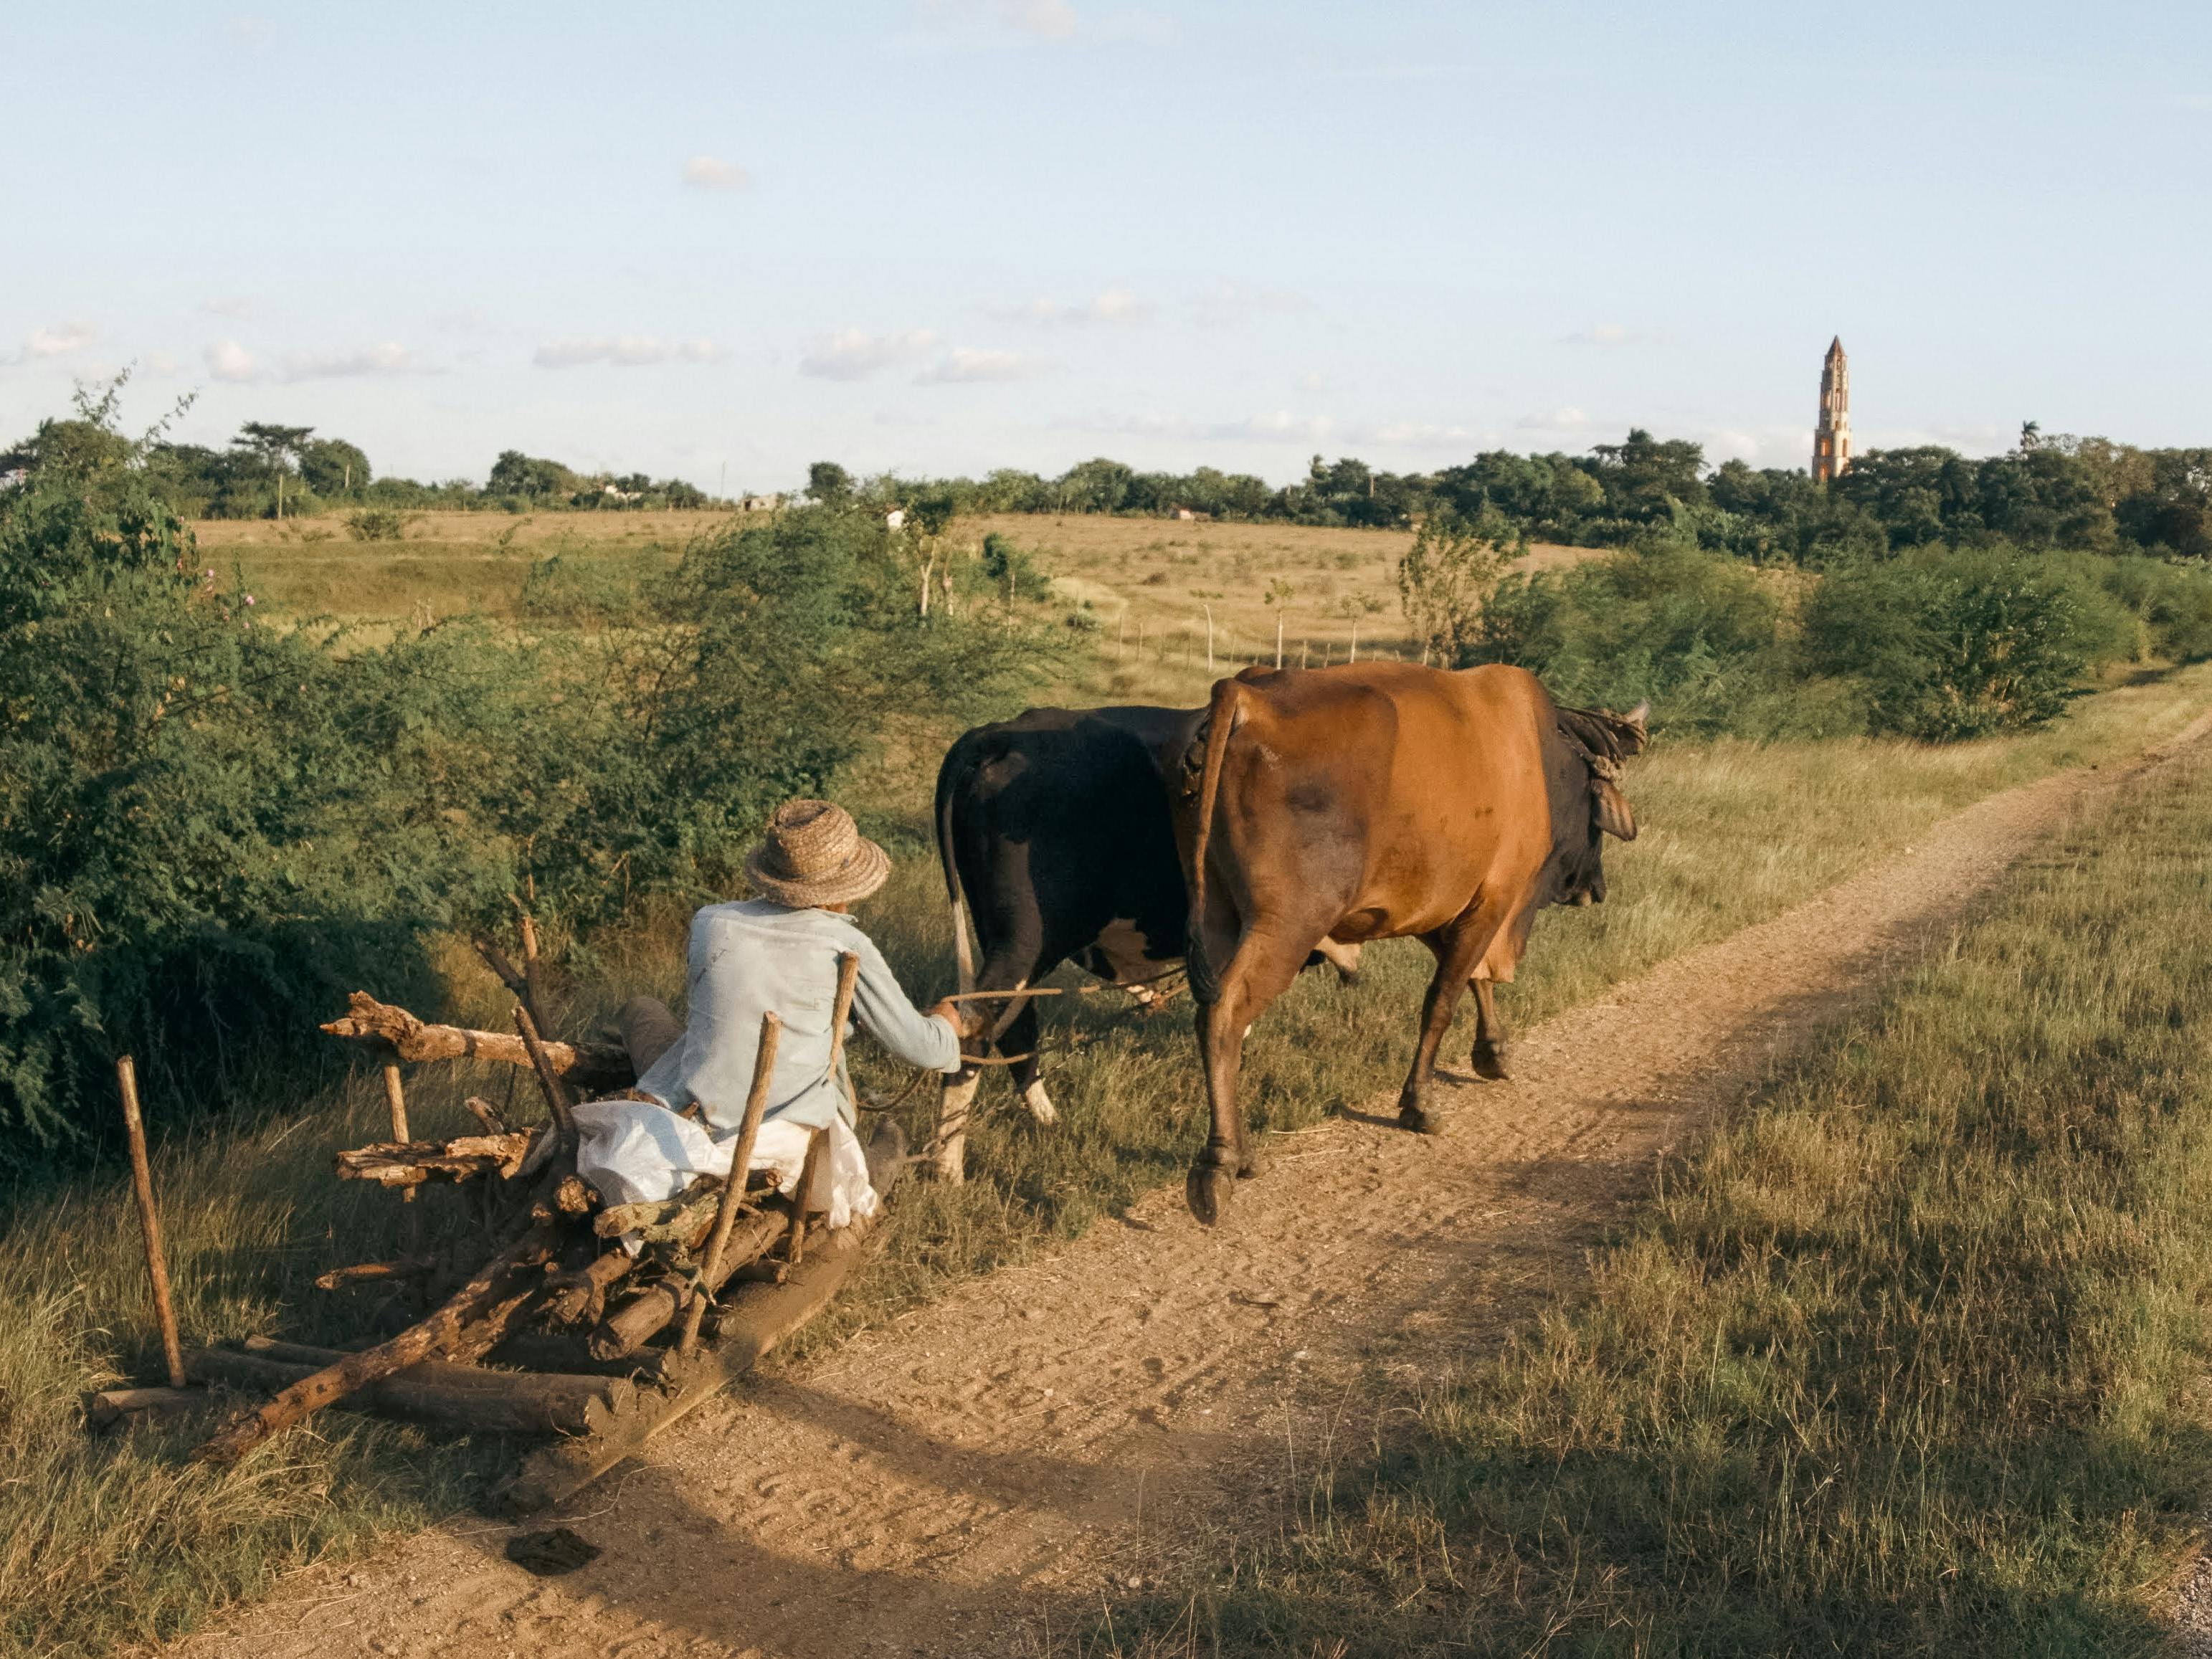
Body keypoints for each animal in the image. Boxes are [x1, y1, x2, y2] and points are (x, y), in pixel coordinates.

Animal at [929, 704, 1363, 1182]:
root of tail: (999, 733)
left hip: (1011, 941)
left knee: (1013, 1028)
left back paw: (1046, 1120)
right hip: (1026, 942)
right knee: (978, 1031)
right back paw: (949, 1170)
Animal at [1170, 661, 1646, 1224]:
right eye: (1594, 818)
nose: (1596, 887)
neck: (1541, 759)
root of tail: (1247, 695)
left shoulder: (1442, 907)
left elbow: (1473, 981)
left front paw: (1493, 1052)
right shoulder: (1494, 898)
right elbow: (1442, 1000)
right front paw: (1419, 1103)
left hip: (1219, 914)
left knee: (1220, 1024)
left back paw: (1241, 1149)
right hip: (1285, 925)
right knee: (1223, 1019)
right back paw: (1220, 1162)